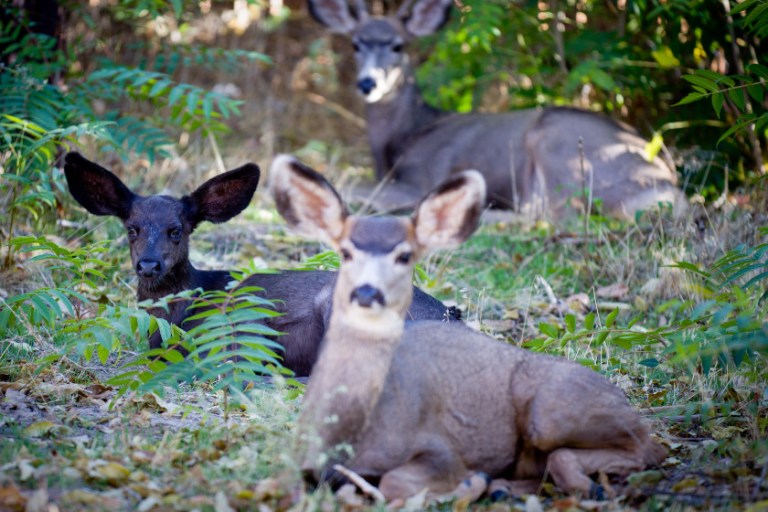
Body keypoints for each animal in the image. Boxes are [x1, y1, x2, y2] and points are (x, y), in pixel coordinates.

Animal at [270, 154, 667, 503]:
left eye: (405, 255)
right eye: (346, 251)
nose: (367, 293)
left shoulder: (440, 449)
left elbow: (399, 480)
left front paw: (465, 485)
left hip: (552, 412)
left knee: (647, 447)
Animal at [306, 0, 686, 221]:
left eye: (398, 46)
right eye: (356, 44)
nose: (367, 83)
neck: (405, 137)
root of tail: (666, 186)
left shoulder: (422, 179)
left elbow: (350, 184)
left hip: (558, 145)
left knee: (549, 216)